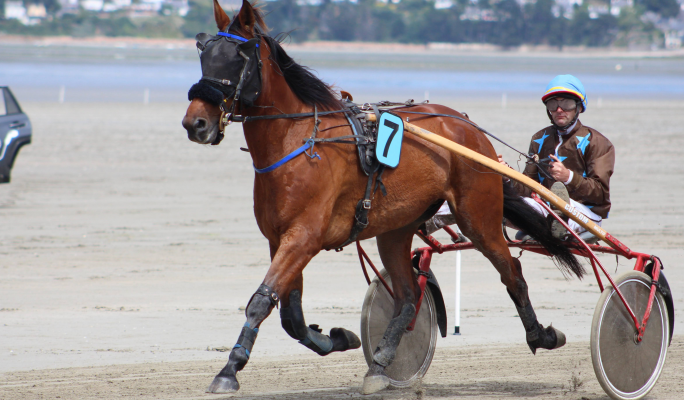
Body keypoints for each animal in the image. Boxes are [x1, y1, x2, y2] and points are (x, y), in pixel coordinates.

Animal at [182, 0, 584, 394]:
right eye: (204, 53)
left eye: (238, 58)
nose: (194, 123)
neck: (298, 144)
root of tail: (468, 127)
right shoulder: (279, 239)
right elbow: (291, 316)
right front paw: (336, 338)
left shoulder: (303, 238)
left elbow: (262, 301)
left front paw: (229, 371)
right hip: (396, 229)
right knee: (406, 297)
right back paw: (381, 364)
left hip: (477, 217)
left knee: (511, 271)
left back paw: (541, 335)